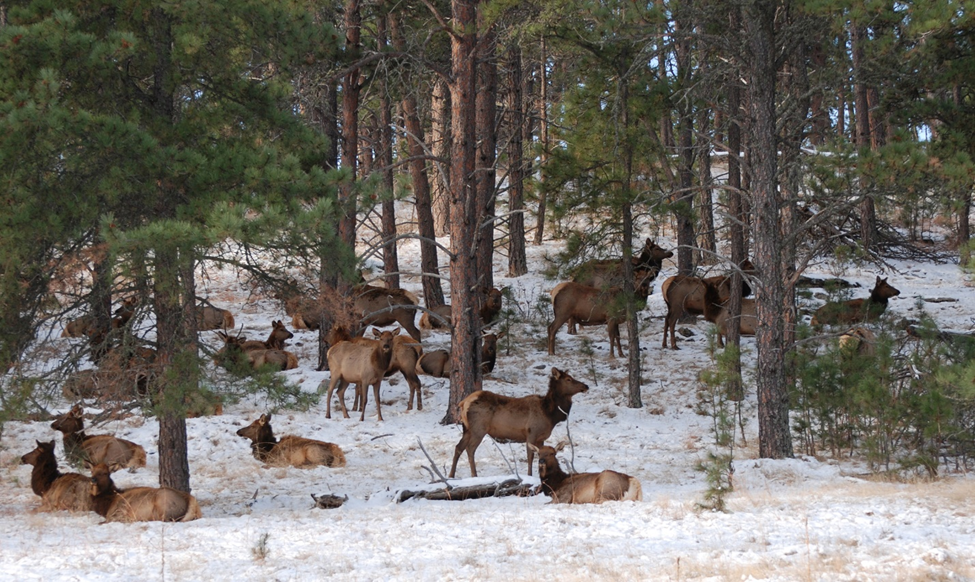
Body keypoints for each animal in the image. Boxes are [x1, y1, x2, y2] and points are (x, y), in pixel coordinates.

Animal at [448, 367, 589, 478]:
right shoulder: (531, 432)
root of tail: (463, 402)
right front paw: (529, 475)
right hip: (479, 428)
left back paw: (451, 475)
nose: (586, 386)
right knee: (469, 448)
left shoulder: (541, 437)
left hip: (467, 428)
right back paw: (474, 475)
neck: (550, 414)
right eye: (569, 379)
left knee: (458, 447)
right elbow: (530, 456)